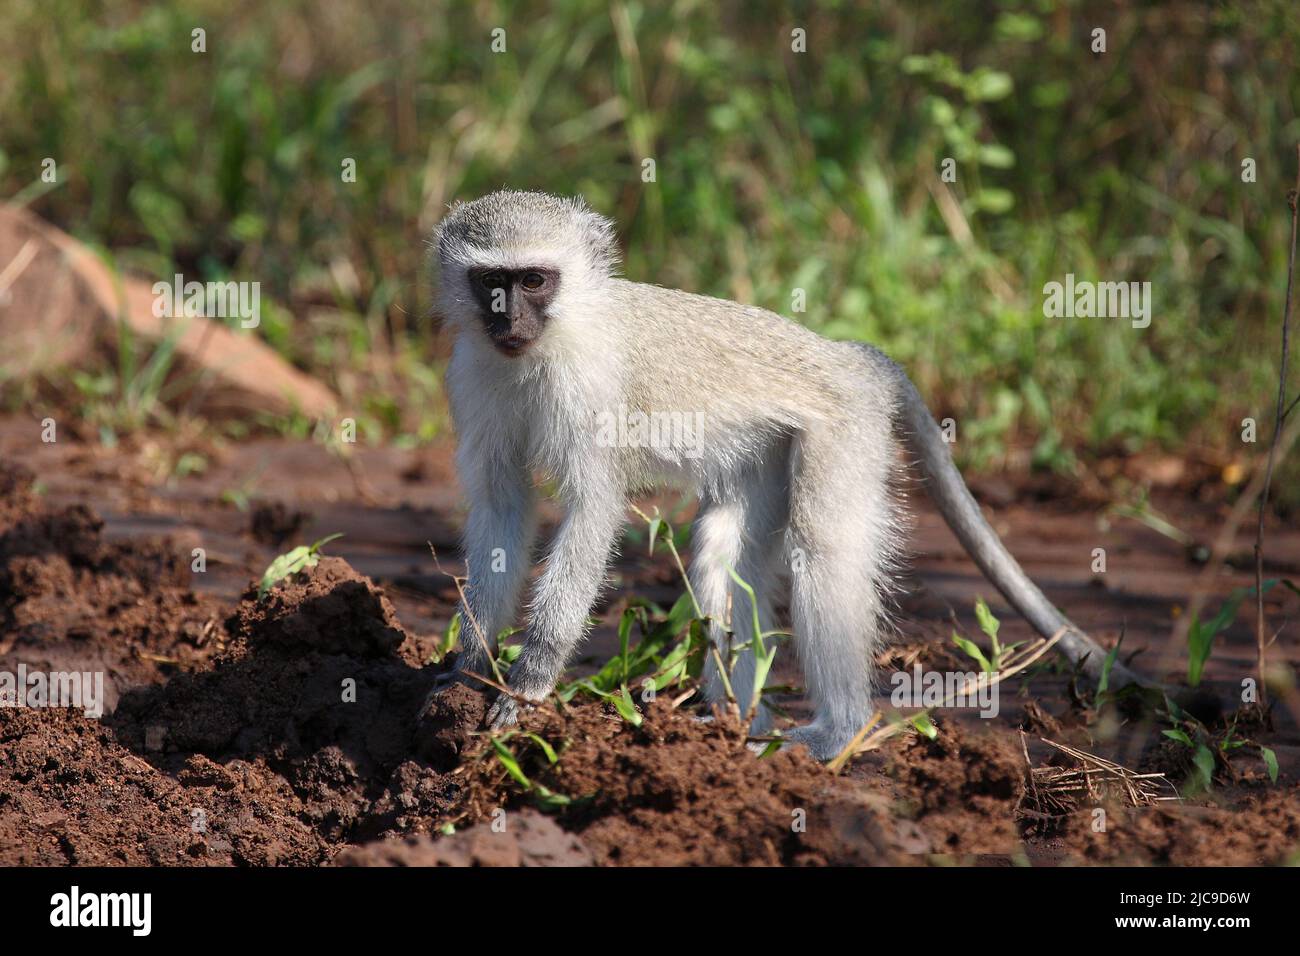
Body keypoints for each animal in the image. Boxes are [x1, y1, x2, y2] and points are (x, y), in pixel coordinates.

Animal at [427, 189, 1134, 759]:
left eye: (534, 280)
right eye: (492, 283)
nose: (509, 318)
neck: (545, 345)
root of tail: (849, 358)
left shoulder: (591, 388)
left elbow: (592, 510)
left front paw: (531, 681)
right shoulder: (471, 374)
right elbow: (503, 507)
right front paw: (468, 665)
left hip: (844, 428)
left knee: (824, 548)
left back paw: (834, 733)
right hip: (762, 454)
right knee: (723, 556)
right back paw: (736, 723)